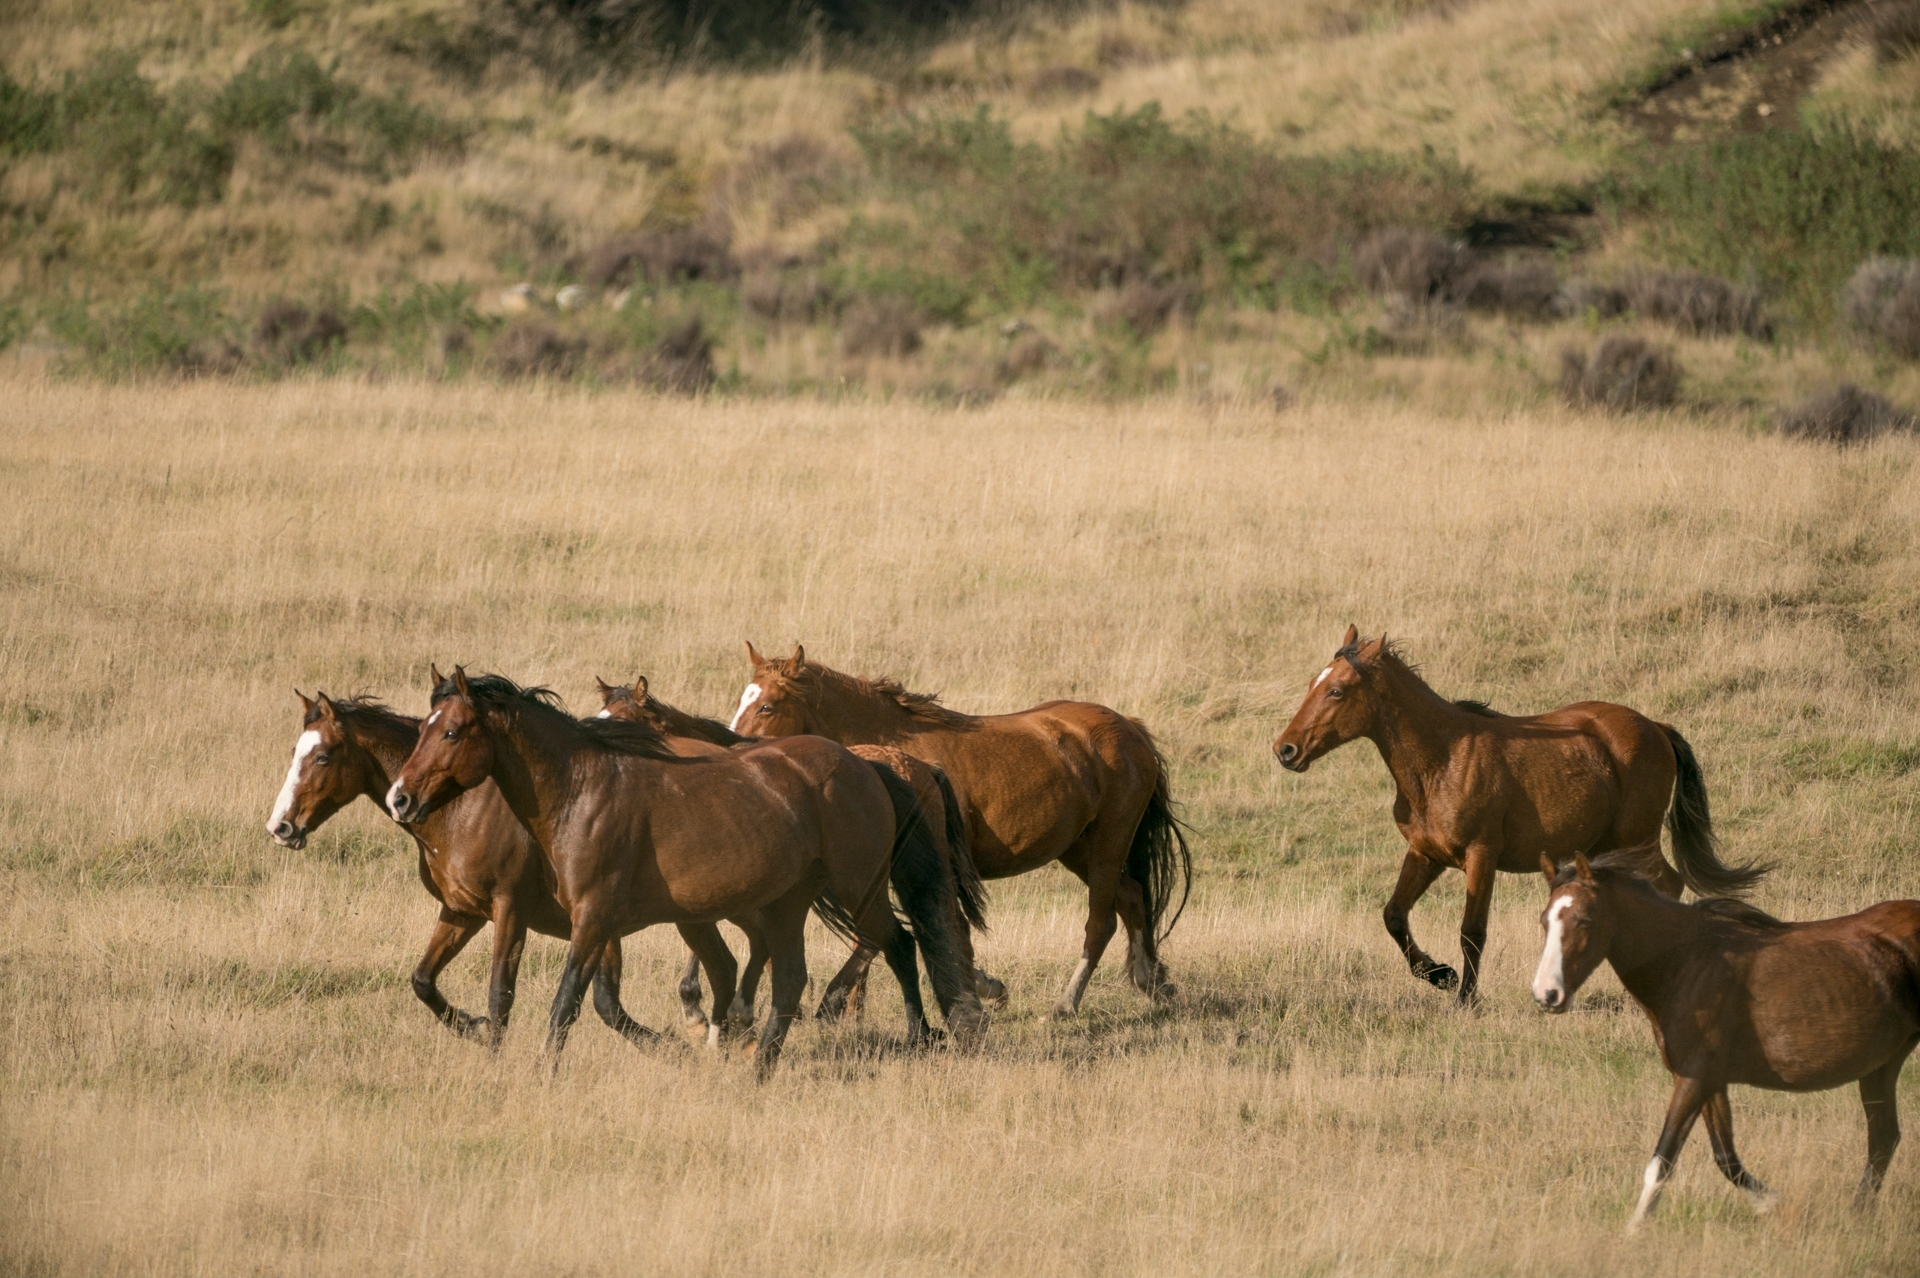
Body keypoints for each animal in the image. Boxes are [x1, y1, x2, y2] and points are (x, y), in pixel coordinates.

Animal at [264, 690, 727, 1048]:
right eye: (294, 753)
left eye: (323, 757)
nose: (280, 826)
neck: (459, 810)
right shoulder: (462, 911)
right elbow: (423, 980)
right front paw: (474, 1027)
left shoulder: (517, 911)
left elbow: (508, 994)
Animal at [727, 643, 1190, 1019]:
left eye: (767, 706)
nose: (732, 750)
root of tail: (1130, 729)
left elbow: (905, 930)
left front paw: (837, 1002)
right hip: (1078, 848)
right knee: (1131, 898)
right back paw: (1152, 982)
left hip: (1109, 843)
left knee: (1101, 922)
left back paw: (1065, 1005)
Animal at [1273, 626, 1766, 1004]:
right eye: (1314, 682)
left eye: (1336, 690)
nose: (1285, 749)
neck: (1442, 759)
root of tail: (1657, 728)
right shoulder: (1426, 855)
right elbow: (1394, 915)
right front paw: (1441, 975)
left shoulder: (1481, 855)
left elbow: (1472, 930)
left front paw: (1466, 999)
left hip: (1636, 838)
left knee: (1668, 883)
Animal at [1532, 851, 1920, 1231]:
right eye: (1544, 921)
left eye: (1584, 920)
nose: (1546, 994)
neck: (1686, 962)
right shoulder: (1709, 1080)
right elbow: (1725, 1157)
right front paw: (1771, 1203)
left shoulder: (1694, 1078)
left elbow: (1662, 1162)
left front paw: (1634, 1231)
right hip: (1881, 1066)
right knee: (1883, 1138)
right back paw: (1857, 1217)